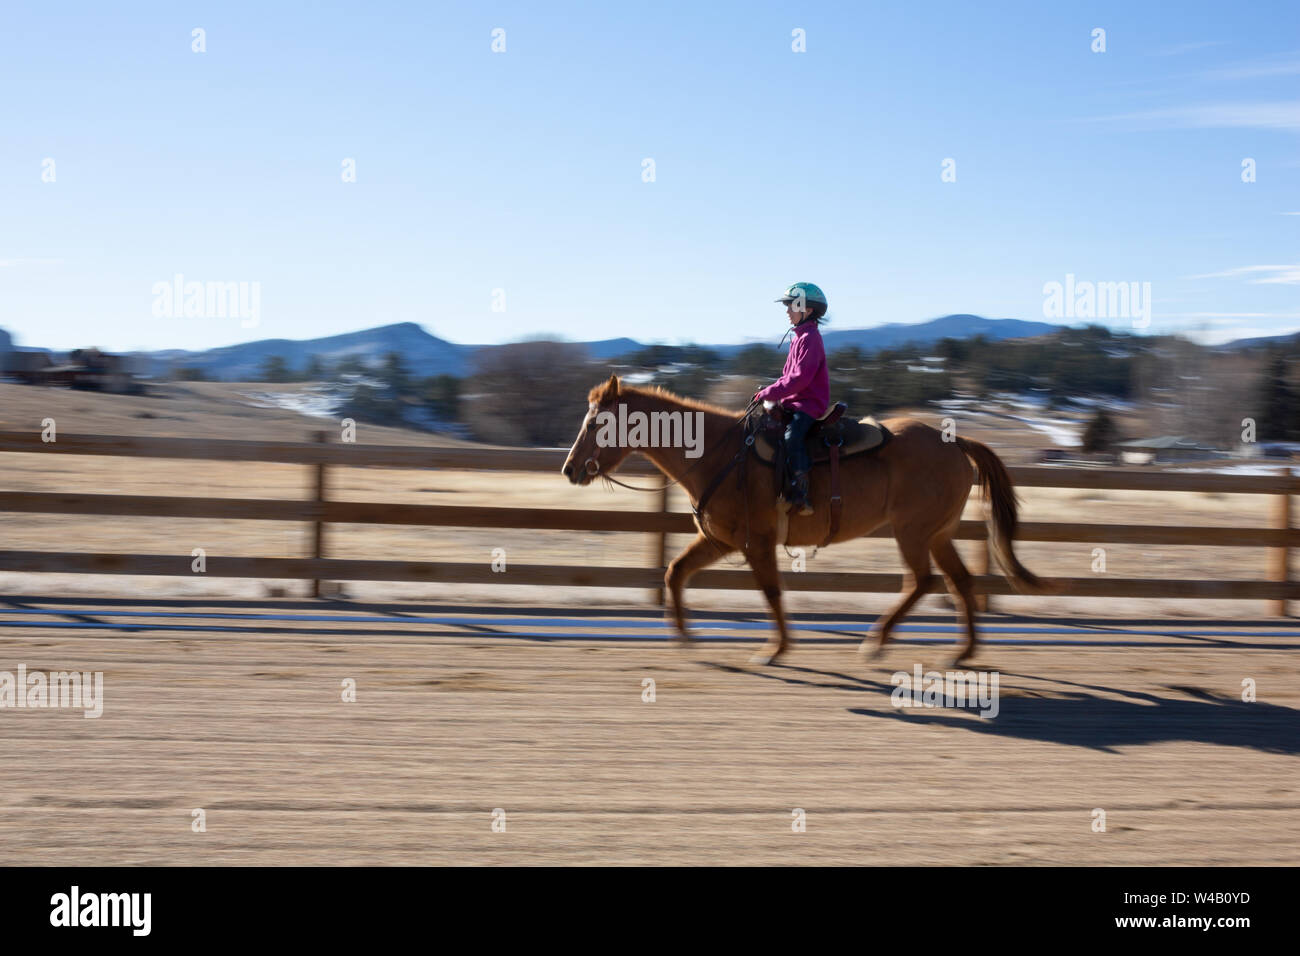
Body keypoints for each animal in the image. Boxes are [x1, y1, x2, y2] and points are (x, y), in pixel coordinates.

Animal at [561, 374, 1049, 666]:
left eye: (596, 423)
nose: (569, 469)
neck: (720, 454)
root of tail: (954, 441)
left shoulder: (756, 543)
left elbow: (772, 592)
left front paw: (775, 649)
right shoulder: (720, 540)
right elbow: (675, 572)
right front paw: (684, 637)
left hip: (914, 533)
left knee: (922, 581)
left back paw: (877, 642)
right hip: (938, 534)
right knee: (959, 581)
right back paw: (961, 653)